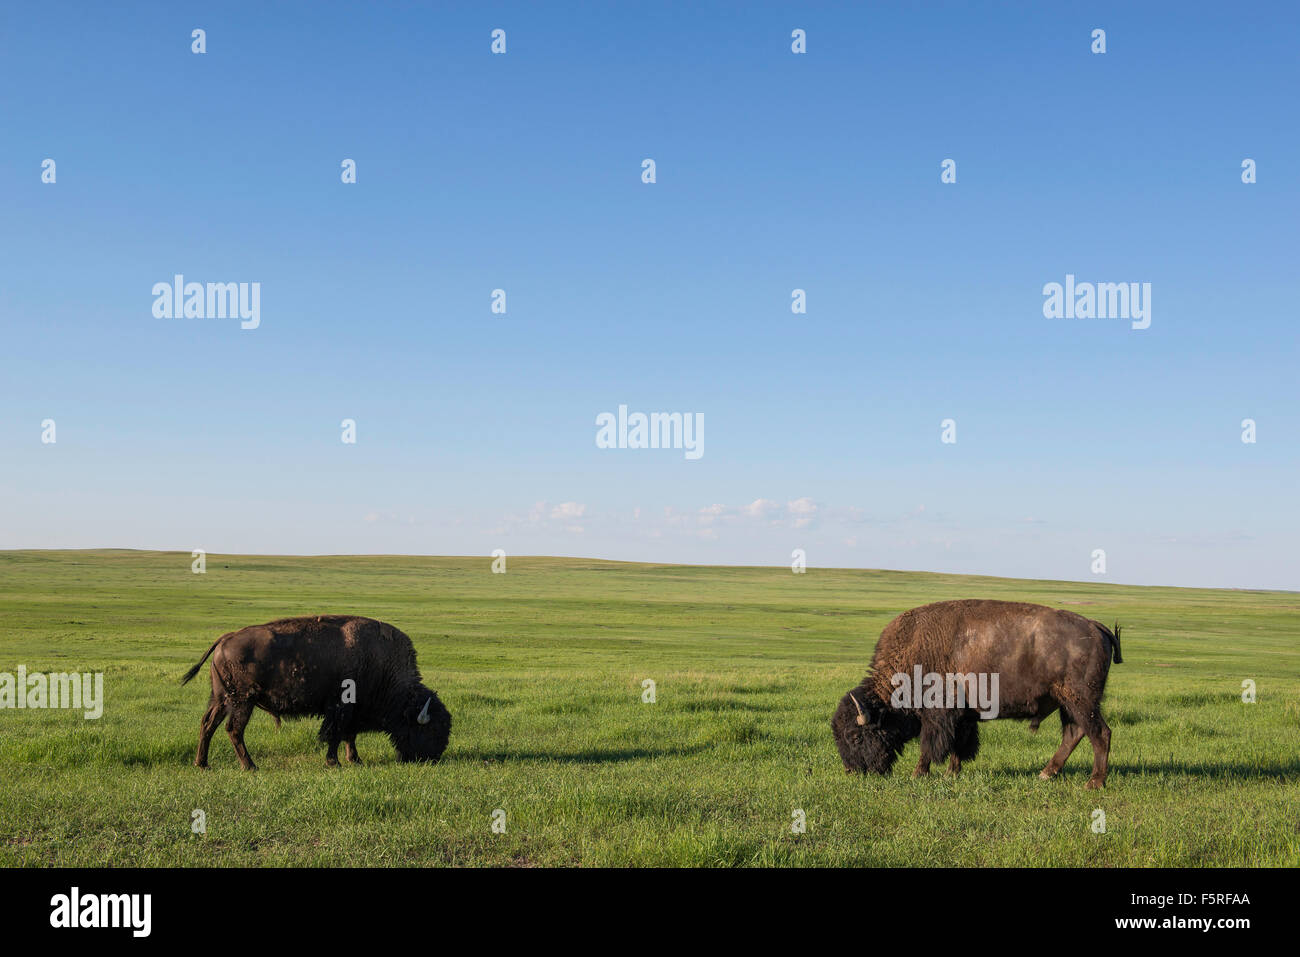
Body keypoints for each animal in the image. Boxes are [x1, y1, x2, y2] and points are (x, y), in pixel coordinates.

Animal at [181, 615, 451, 770]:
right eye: (430, 729)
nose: (434, 758)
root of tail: (225, 639)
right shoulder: (340, 707)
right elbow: (335, 734)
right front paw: (334, 762)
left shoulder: (352, 712)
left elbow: (349, 736)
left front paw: (355, 759)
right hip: (242, 701)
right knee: (233, 730)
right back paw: (250, 766)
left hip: (221, 699)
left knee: (208, 724)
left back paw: (202, 764)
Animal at [832, 599, 1122, 788]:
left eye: (855, 736)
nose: (850, 771)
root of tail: (1096, 626)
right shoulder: (963, 716)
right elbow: (959, 744)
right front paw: (951, 773)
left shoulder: (938, 716)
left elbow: (930, 745)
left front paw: (918, 774)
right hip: (1068, 703)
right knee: (1074, 733)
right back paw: (1046, 774)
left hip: (1081, 701)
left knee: (1100, 733)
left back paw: (1094, 782)